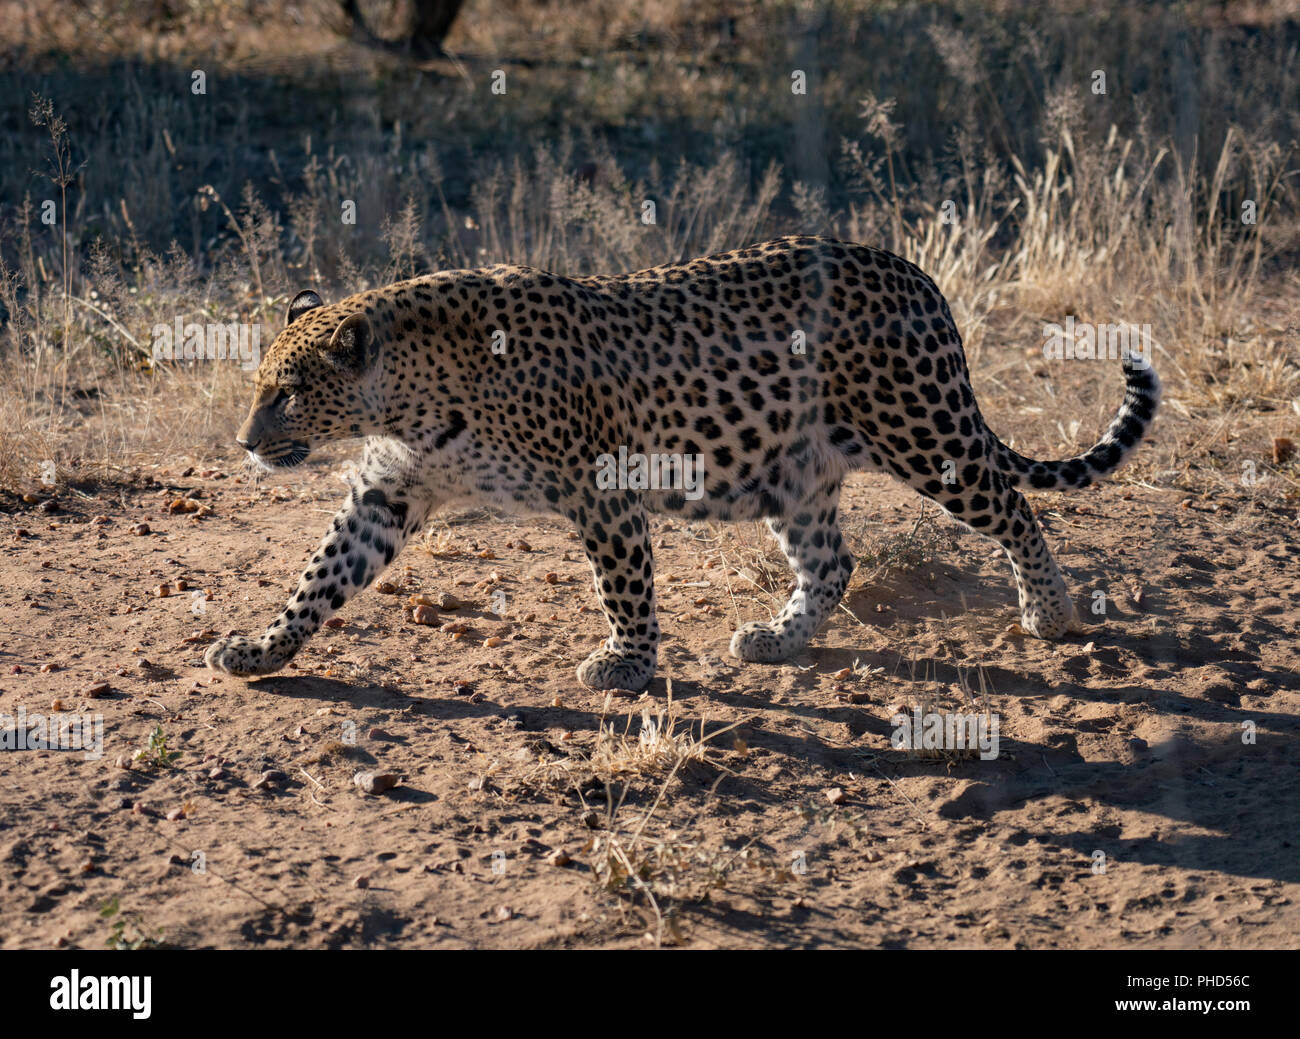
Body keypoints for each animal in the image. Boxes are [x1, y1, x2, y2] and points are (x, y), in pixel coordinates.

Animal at [205, 235, 1161, 692]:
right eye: (261, 386)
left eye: (286, 391)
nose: (247, 441)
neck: (413, 393)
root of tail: (917, 276)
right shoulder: (387, 490)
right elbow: (321, 575)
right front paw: (261, 648)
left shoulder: (602, 488)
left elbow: (622, 585)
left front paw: (626, 664)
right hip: (797, 469)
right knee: (833, 560)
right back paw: (777, 638)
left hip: (925, 434)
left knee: (1014, 507)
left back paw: (1051, 612)